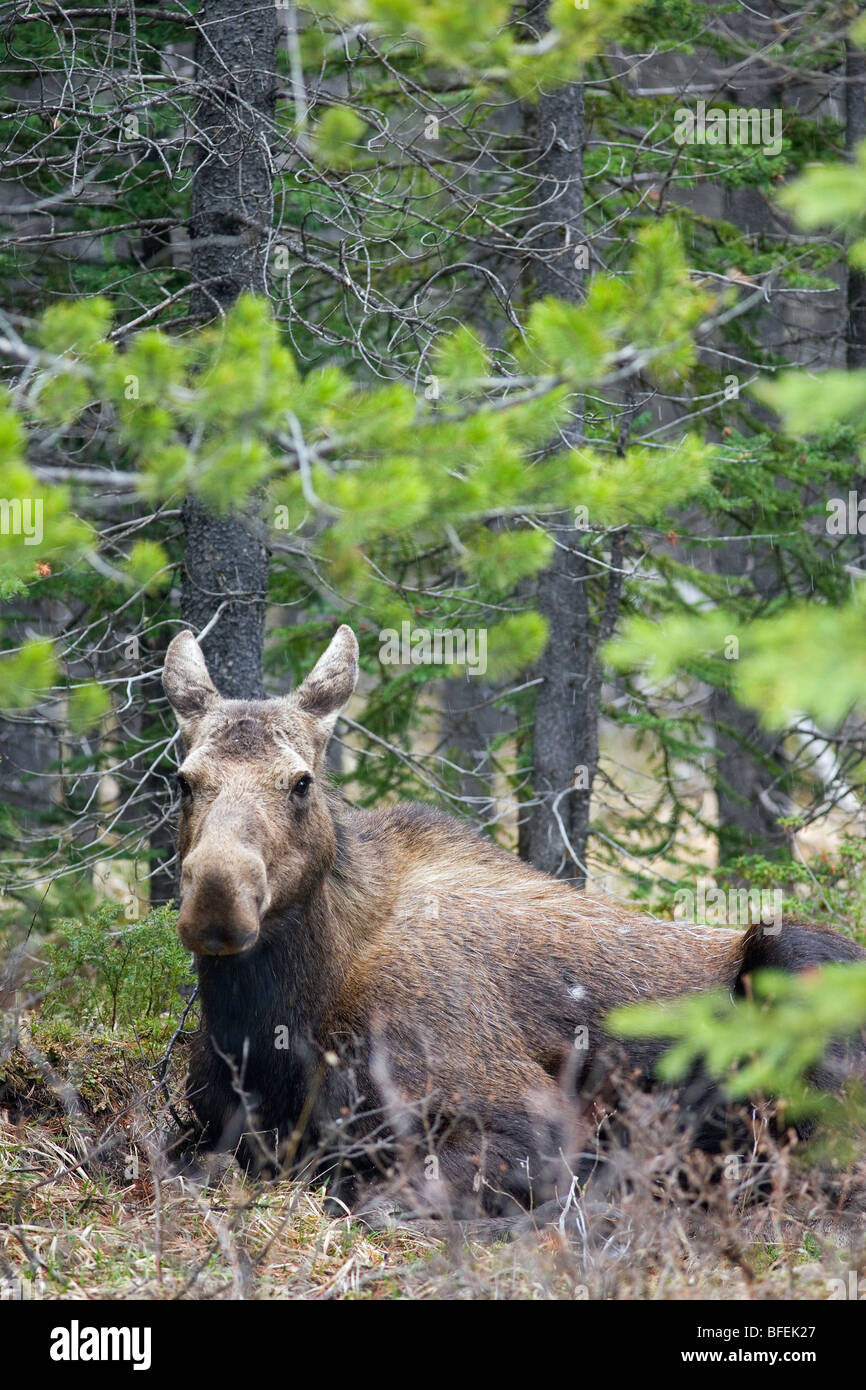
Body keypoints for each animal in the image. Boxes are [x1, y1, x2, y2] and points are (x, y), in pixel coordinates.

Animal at [162, 624, 866, 1217]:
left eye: (302, 782)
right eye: (183, 780)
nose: (219, 901)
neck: (272, 1024)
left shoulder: (524, 1119)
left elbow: (370, 1199)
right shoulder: (206, 1124)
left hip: (796, 961)